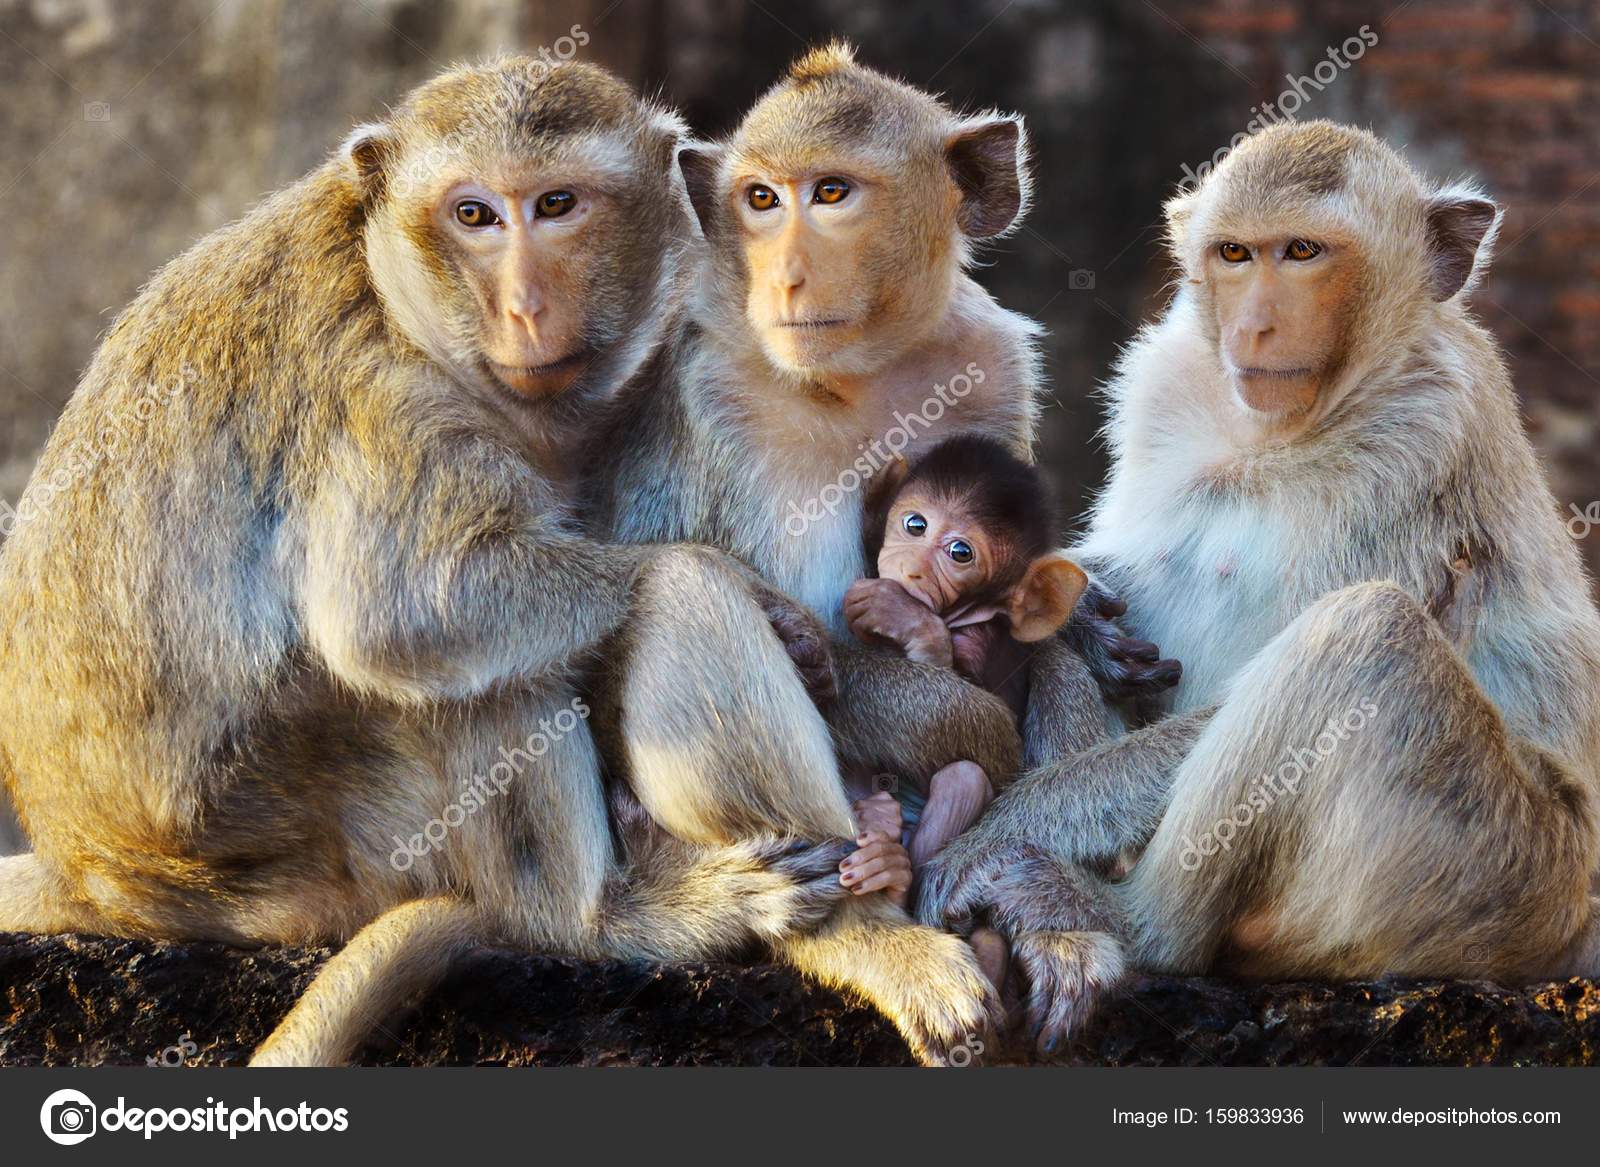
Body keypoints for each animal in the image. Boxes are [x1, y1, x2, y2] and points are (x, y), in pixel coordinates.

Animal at [0, 58, 861, 1069]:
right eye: (474, 214)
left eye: (557, 204)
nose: (525, 305)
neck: (390, 282)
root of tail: (94, 874)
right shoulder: (384, 396)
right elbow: (404, 611)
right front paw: (756, 600)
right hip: (320, 846)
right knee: (472, 674)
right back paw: (596, 919)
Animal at [916, 120, 1600, 1053]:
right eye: (1235, 253)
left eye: (1304, 251)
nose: (1257, 324)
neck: (1278, 435)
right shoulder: (1162, 385)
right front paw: (1083, 607)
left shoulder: (1421, 445)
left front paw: (991, 836)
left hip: (1500, 879)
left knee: (1371, 634)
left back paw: (1121, 920)